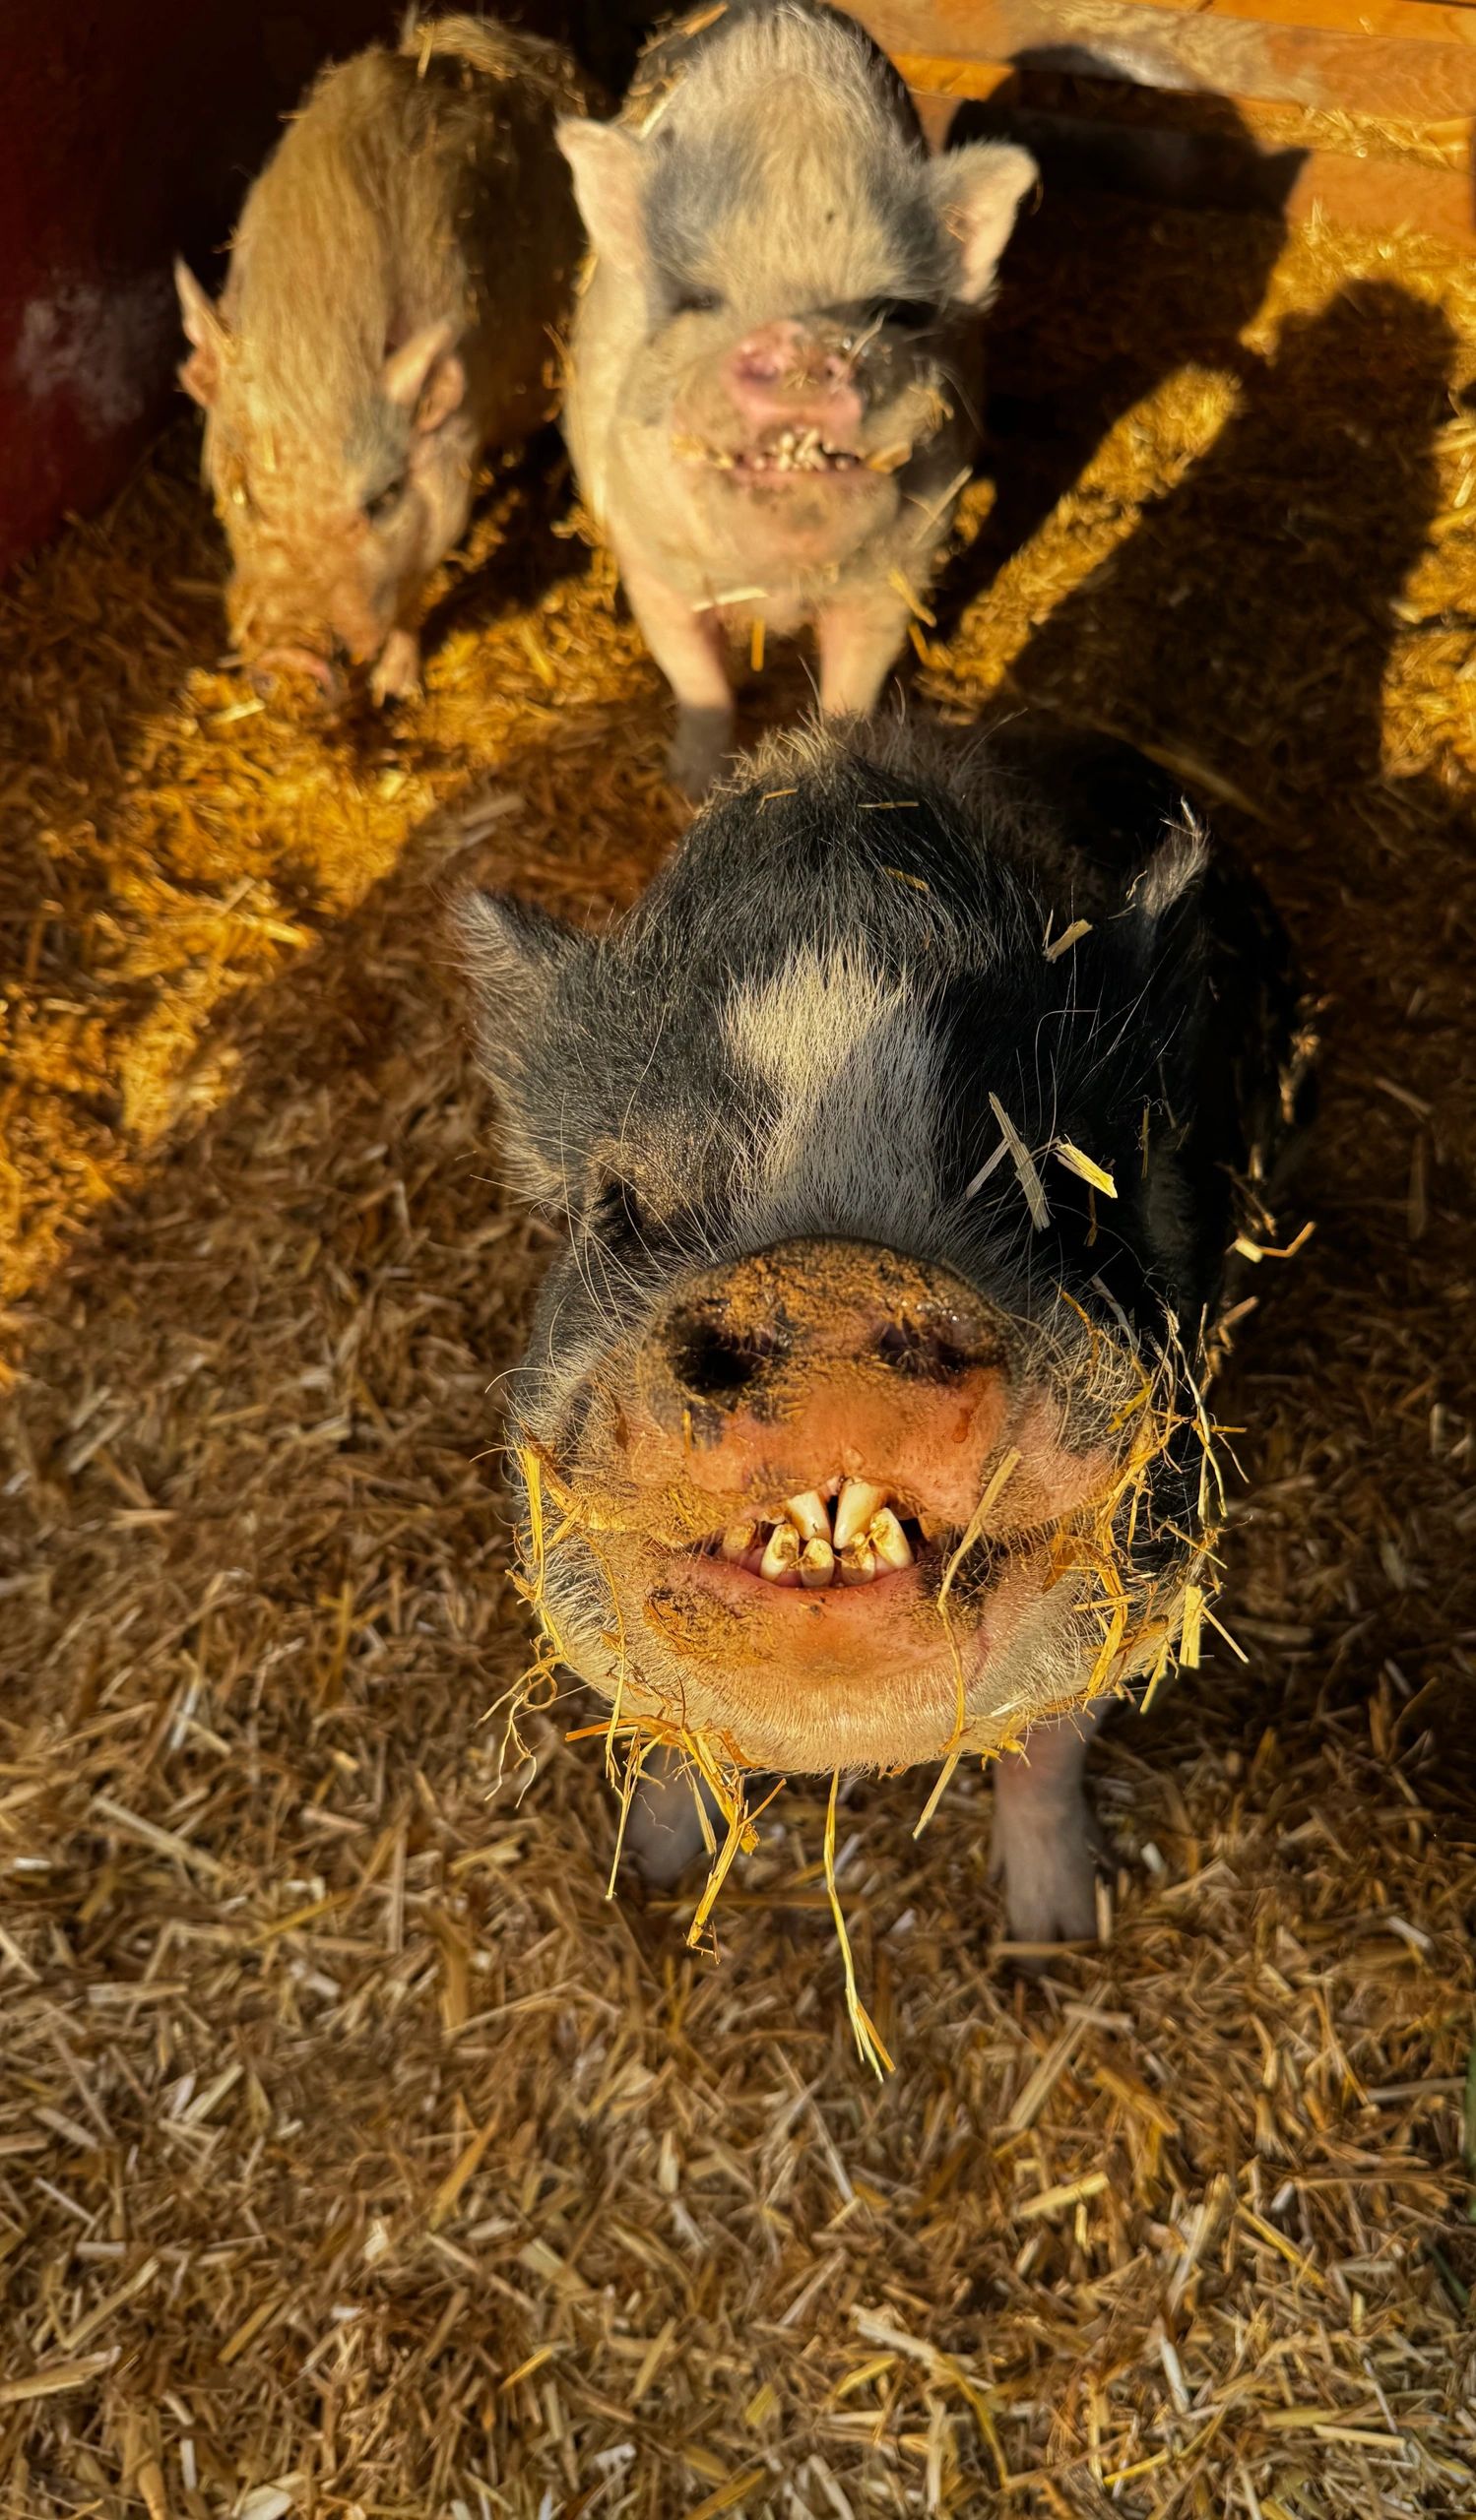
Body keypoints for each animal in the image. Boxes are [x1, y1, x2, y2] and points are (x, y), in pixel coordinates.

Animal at [174, 14, 593, 705]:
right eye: (247, 495)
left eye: (383, 498)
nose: (294, 653)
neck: (317, 346)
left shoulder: (449, 463)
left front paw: (396, 692)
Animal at [458, 711, 1313, 1948]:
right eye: (617, 1208)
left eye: (1066, 1191)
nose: (820, 1276)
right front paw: (655, 1878)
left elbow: (1047, 1750)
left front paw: (1050, 1941)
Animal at [556, 1, 1036, 795]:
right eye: (695, 300)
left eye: (895, 311)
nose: (808, 345)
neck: (777, 586)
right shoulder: (650, 561)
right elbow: (698, 681)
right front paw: (691, 785)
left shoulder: (899, 570)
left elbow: (853, 686)